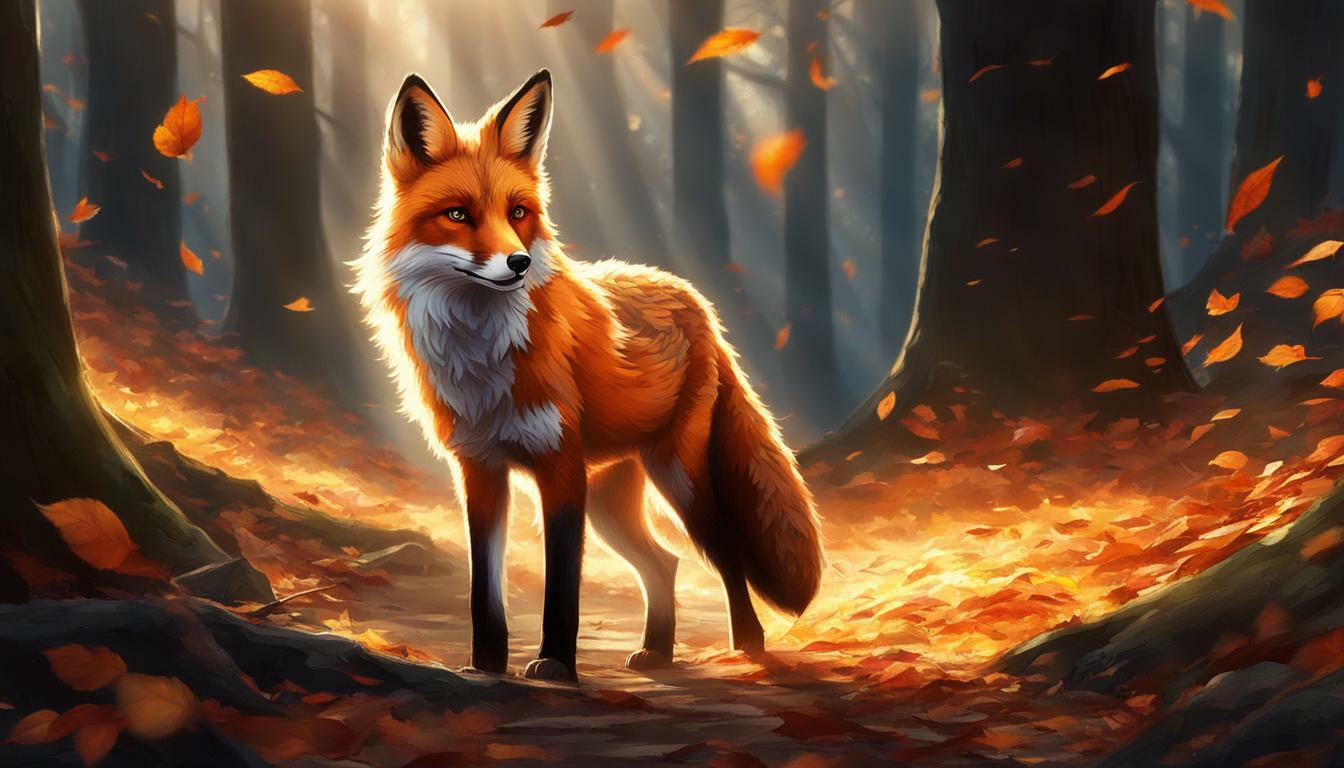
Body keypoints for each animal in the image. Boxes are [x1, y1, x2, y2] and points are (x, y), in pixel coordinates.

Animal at [352, 70, 823, 681]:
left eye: (518, 213)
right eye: (458, 215)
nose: (520, 263)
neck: (482, 361)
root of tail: (696, 299)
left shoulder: (561, 467)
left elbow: (562, 588)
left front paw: (556, 664)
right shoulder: (479, 471)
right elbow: (484, 592)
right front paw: (486, 666)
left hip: (678, 476)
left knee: (724, 555)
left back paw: (748, 647)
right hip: (611, 503)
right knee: (666, 562)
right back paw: (658, 651)